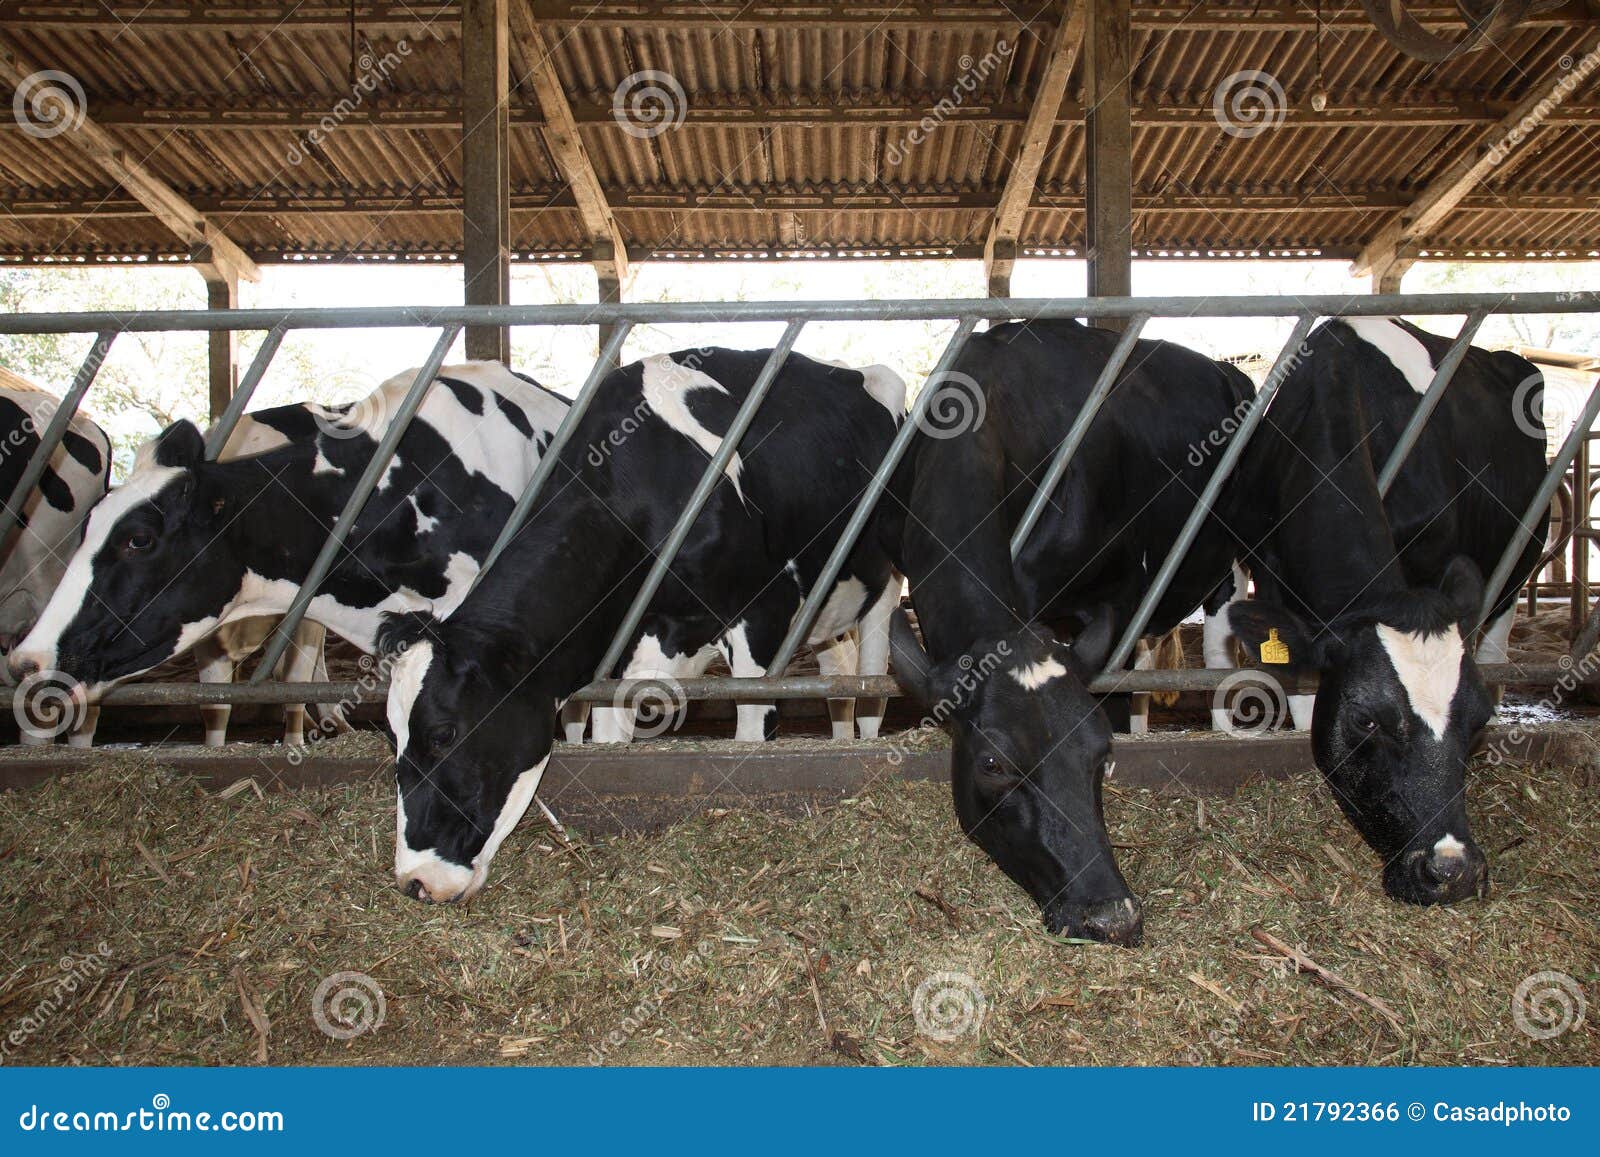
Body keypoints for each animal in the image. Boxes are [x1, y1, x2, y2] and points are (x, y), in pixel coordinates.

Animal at [380, 347, 904, 904]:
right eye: (393, 737)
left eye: (443, 733)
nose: (416, 881)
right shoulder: (622, 647)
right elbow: (612, 739)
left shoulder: (762, 615)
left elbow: (750, 736)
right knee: (839, 673)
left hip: (884, 577)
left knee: (871, 679)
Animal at [1209, 317, 1547, 907]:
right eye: (1366, 721)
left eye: (1478, 720)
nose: (1453, 871)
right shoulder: (1271, 571)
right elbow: (1304, 697)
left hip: (1519, 563)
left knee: (1497, 643)